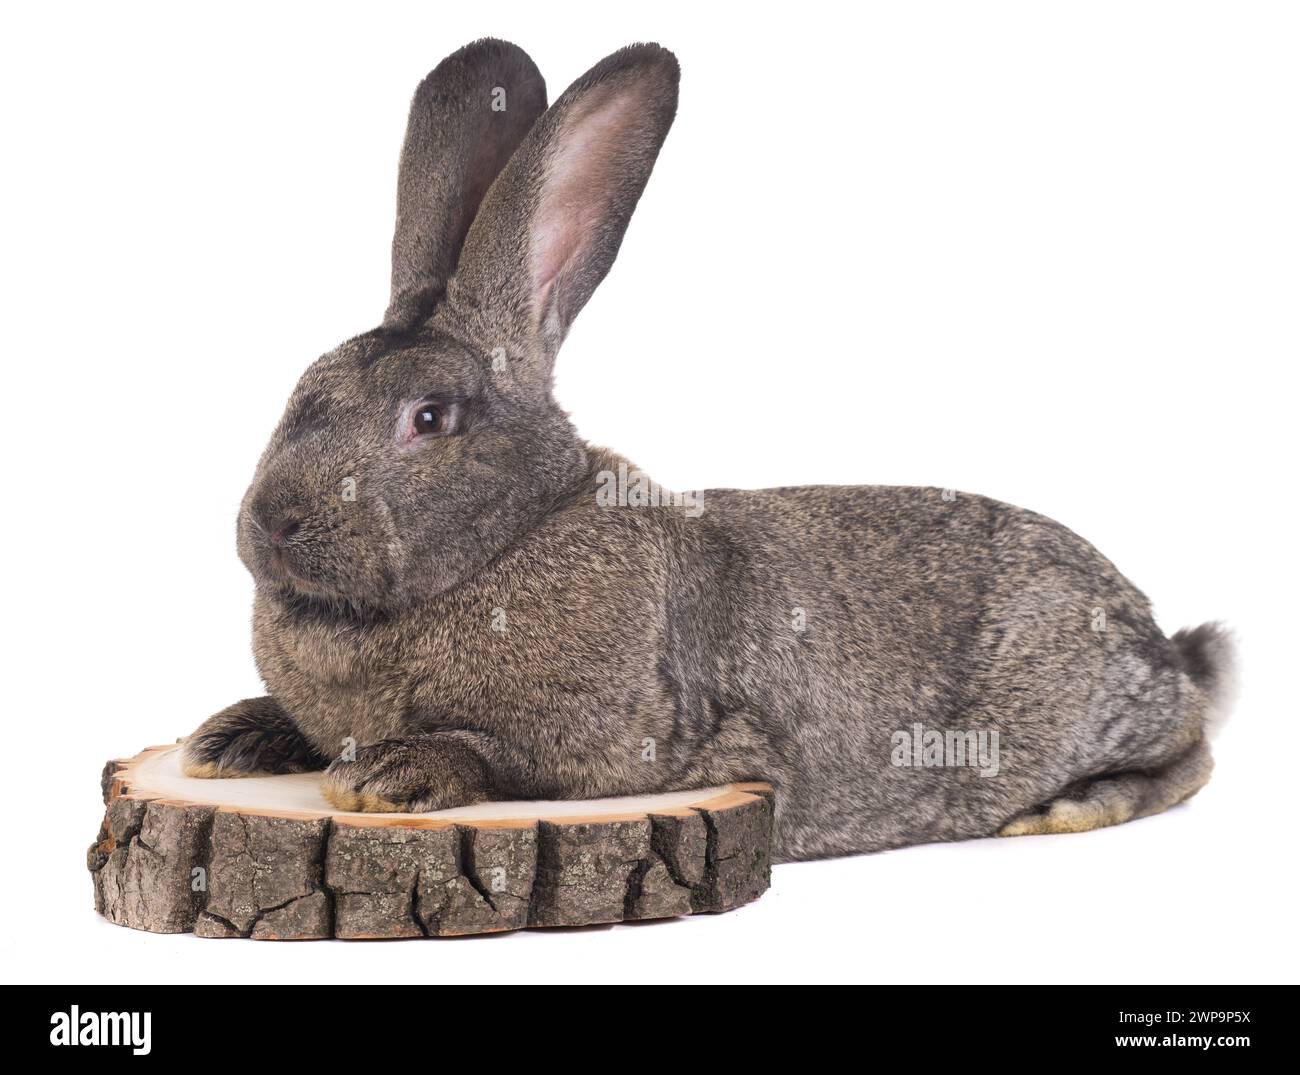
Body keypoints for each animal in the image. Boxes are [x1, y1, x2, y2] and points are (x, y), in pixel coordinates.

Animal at [181, 38, 1237, 862]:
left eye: (430, 418)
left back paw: (1073, 806)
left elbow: (502, 756)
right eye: (300, 388)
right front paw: (226, 743)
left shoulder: (623, 743)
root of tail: (1159, 638)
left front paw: (391, 776)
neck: (510, 535)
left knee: (1191, 753)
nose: (272, 524)